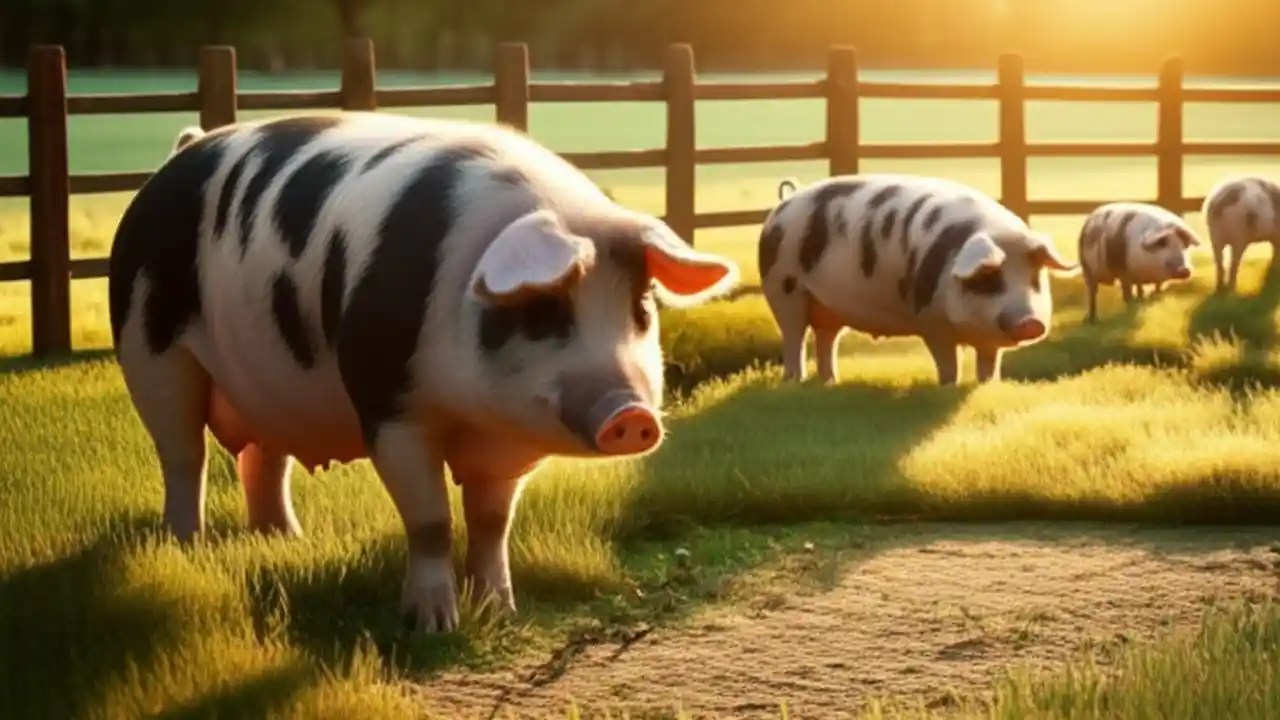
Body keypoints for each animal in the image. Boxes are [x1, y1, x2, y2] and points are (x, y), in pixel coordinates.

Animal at [108, 112, 739, 632]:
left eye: (642, 309)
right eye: (544, 311)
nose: (631, 415)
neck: (474, 412)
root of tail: (182, 153)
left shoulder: (503, 446)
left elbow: (492, 522)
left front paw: (501, 611)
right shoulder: (390, 408)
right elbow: (432, 520)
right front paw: (433, 626)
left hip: (266, 388)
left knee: (263, 458)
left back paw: (285, 538)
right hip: (148, 352)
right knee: (184, 456)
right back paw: (187, 545)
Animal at [758, 173, 1077, 385]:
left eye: (1034, 279)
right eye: (991, 278)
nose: (1030, 322)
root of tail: (783, 205)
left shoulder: (987, 339)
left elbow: (988, 362)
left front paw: (988, 385)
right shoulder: (930, 321)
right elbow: (948, 362)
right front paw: (949, 387)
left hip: (828, 308)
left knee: (827, 338)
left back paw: (830, 382)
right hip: (782, 289)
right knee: (794, 336)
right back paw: (795, 382)